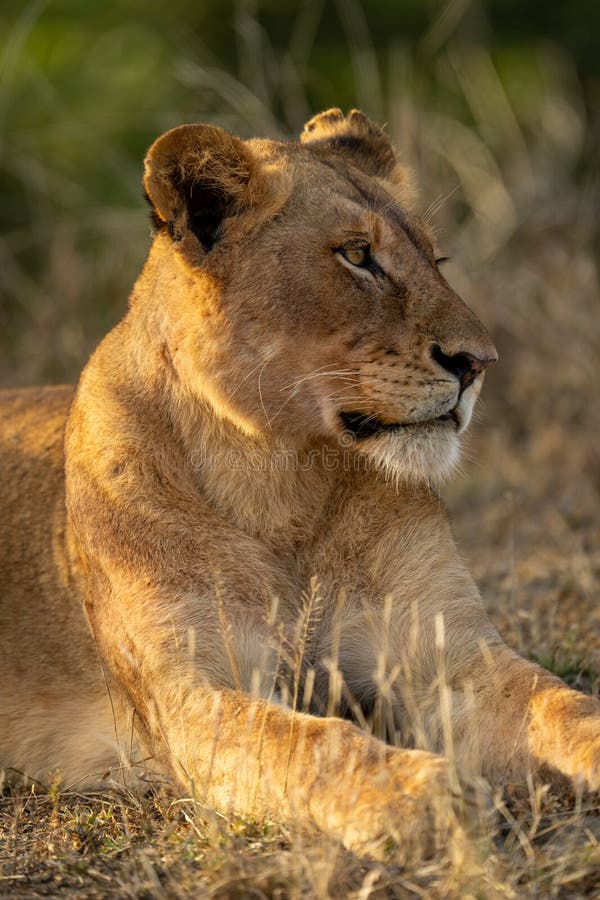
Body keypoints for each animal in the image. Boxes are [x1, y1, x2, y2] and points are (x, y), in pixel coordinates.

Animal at [1, 108, 599, 860]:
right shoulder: (194, 697)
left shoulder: (448, 658)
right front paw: (425, 793)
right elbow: (313, 743)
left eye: (436, 260)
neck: (281, 479)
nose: (479, 363)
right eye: (357, 256)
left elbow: (562, 705)